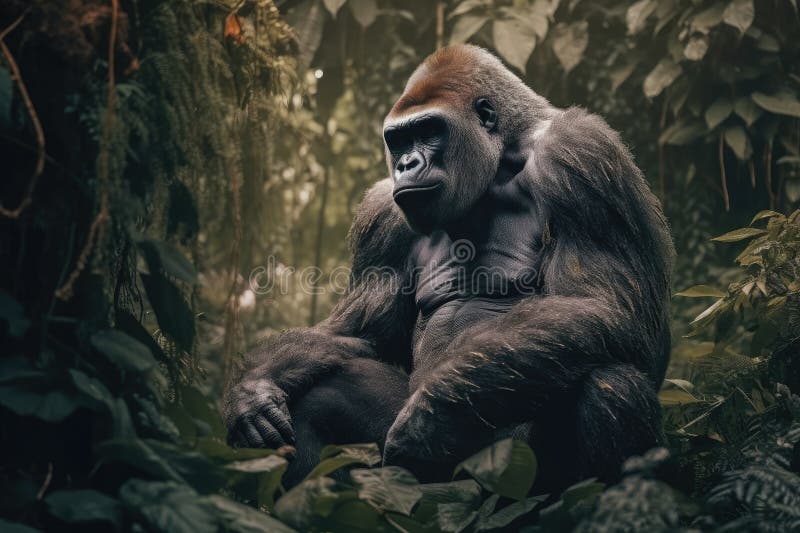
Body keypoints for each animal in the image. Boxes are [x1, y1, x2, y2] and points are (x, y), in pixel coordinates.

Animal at [224, 44, 674, 490]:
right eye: (398, 139)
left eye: (428, 131)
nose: (405, 165)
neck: (504, 157)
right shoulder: (381, 216)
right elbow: (355, 334)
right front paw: (253, 387)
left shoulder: (582, 156)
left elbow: (603, 307)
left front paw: (430, 418)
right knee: (319, 396)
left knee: (611, 382)